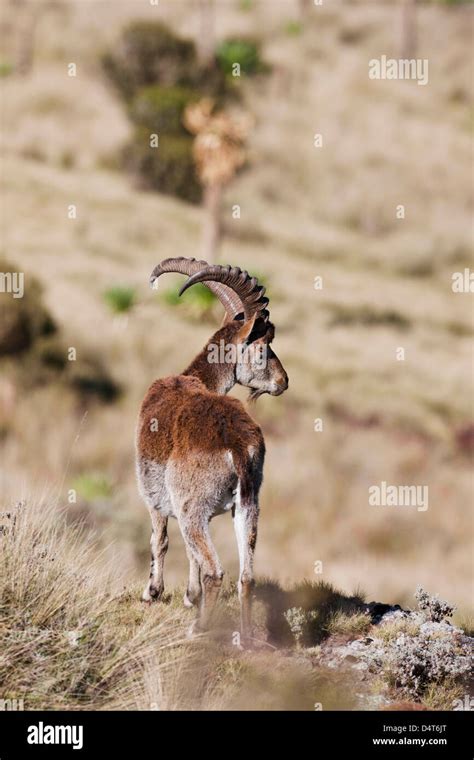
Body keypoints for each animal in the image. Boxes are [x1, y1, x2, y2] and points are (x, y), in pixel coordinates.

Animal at [136, 257, 288, 642]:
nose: (283, 382)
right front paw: (190, 597)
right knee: (246, 576)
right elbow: (189, 556)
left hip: (193, 510)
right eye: (264, 347)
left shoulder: (156, 498)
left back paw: (198, 629)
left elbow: (159, 540)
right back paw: (245, 638)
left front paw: (152, 593)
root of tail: (237, 446)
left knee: (215, 571)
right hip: (248, 505)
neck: (195, 379)